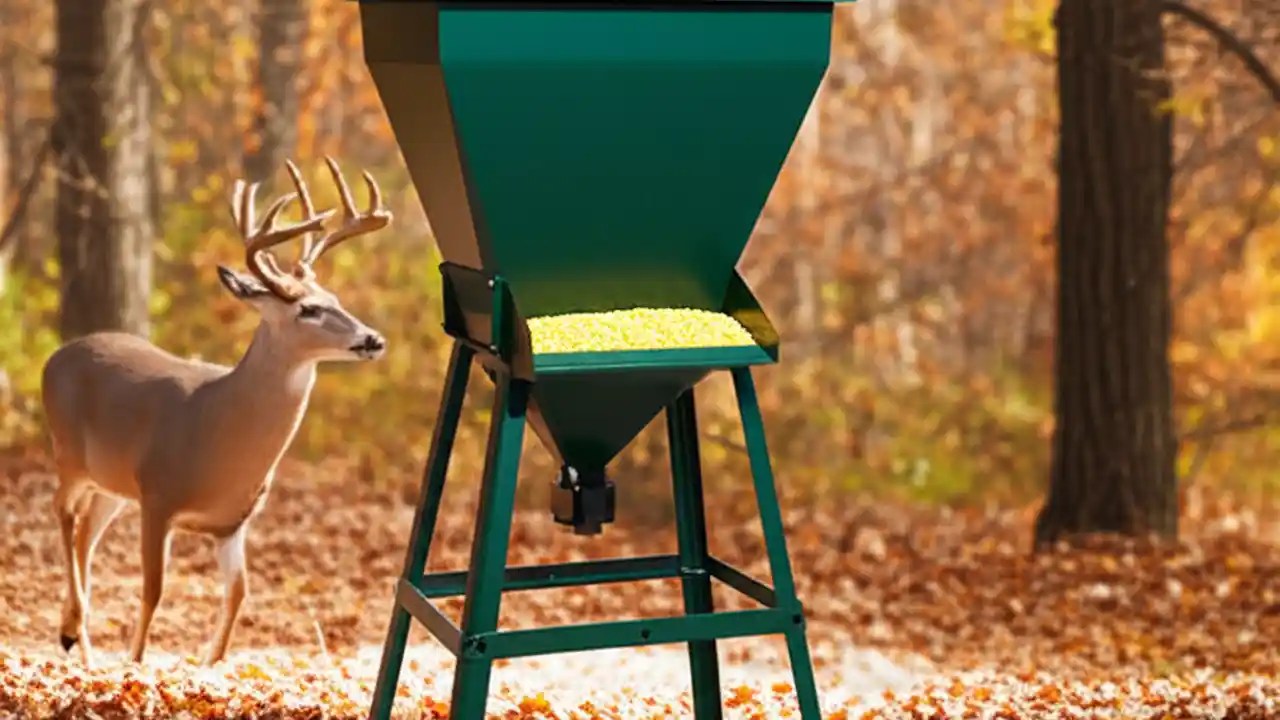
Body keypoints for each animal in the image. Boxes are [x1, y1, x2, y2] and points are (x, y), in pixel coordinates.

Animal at [40, 157, 392, 668]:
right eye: (308, 309)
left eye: (337, 300)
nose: (373, 339)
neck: (219, 431)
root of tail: (56, 357)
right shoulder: (159, 495)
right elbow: (154, 588)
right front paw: (135, 664)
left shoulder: (232, 521)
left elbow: (239, 592)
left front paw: (211, 664)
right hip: (69, 453)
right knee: (64, 513)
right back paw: (72, 629)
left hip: (113, 484)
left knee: (86, 532)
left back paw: (83, 649)